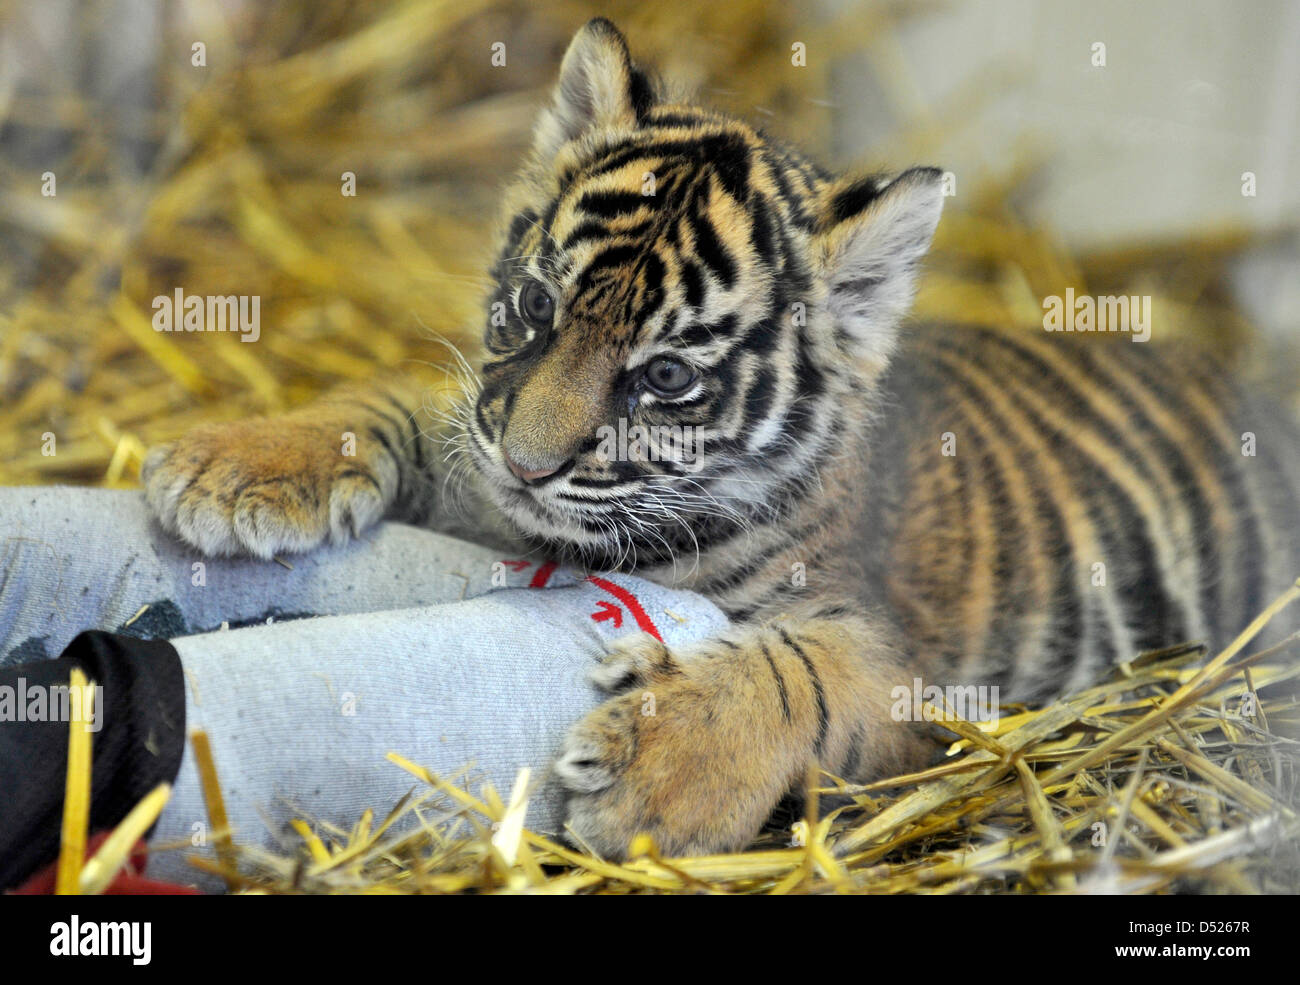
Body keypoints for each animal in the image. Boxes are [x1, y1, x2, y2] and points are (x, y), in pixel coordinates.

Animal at [142, 17, 1300, 858]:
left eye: (665, 378)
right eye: (535, 305)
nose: (528, 465)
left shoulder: (920, 673)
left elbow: (800, 669)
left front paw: (651, 775)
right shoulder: (485, 455)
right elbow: (402, 408)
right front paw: (236, 464)